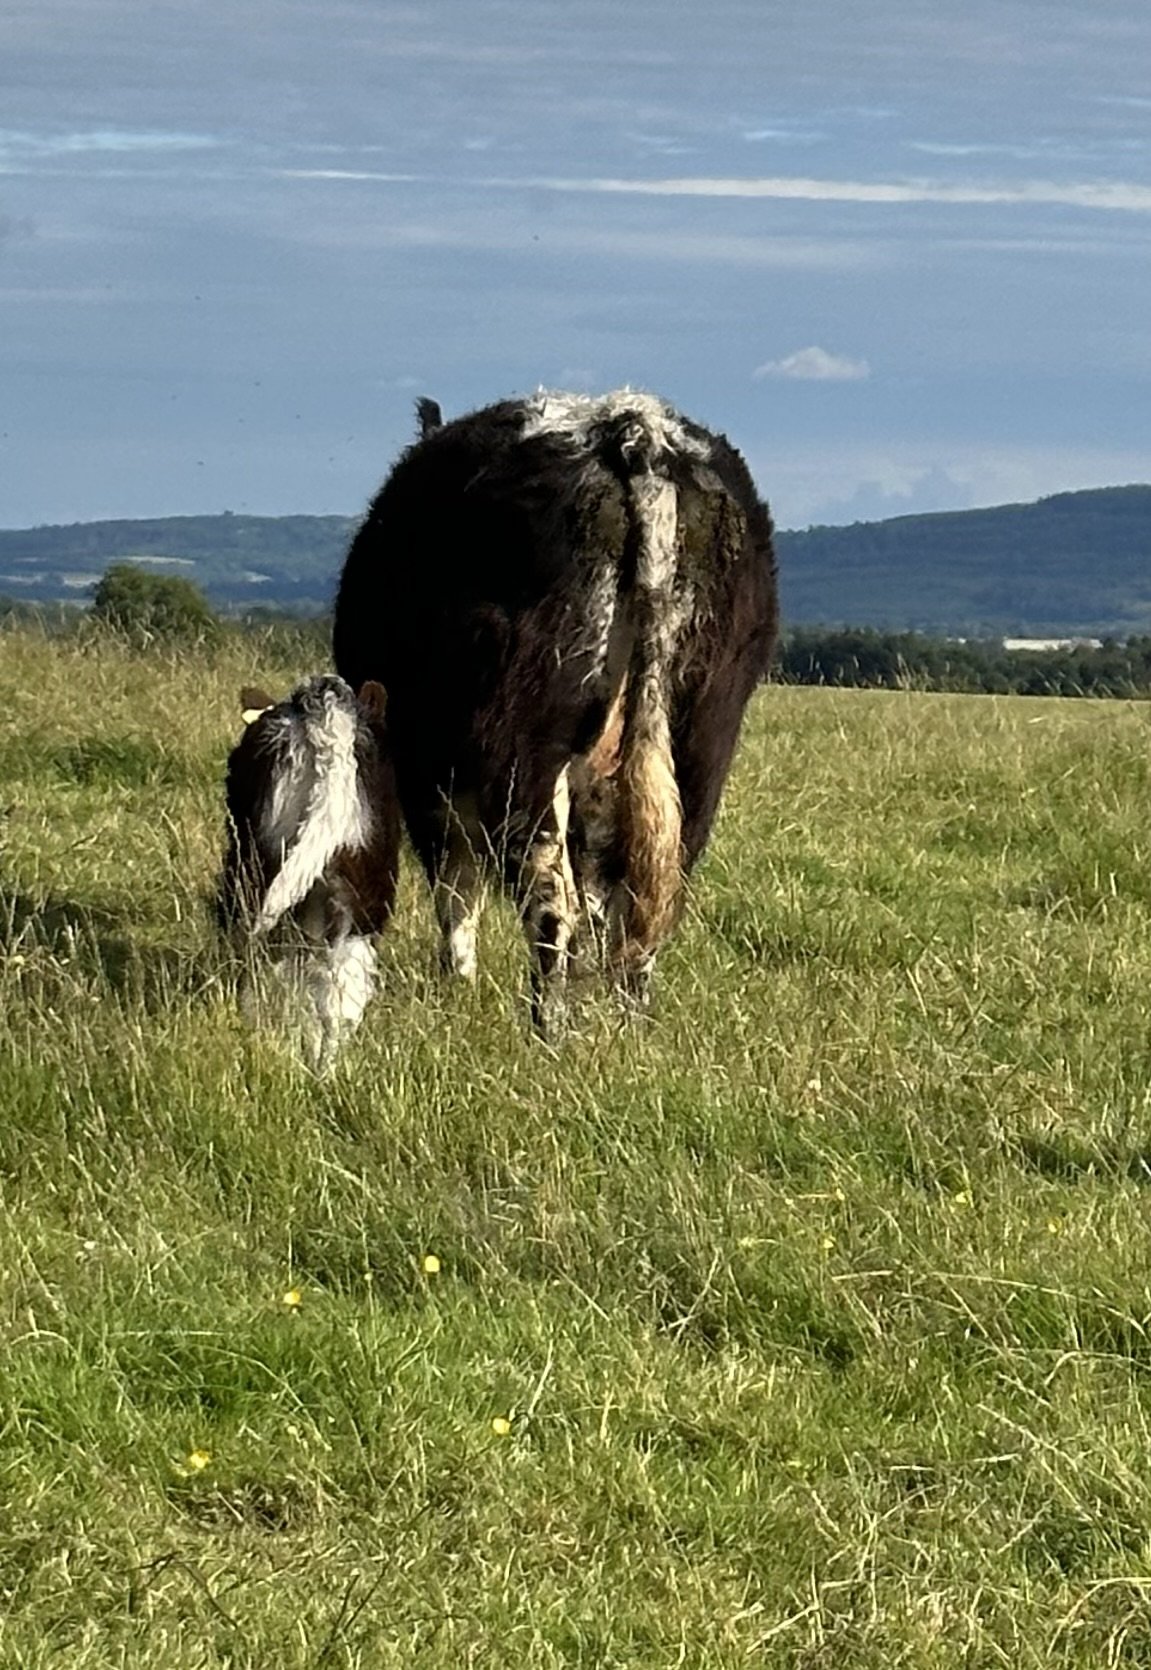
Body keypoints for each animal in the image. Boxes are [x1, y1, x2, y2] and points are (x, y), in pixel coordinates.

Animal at [333, 388, 778, 1033]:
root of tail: (634, 431)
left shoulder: (425, 776)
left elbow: (455, 885)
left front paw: (457, 981)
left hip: (524, 753)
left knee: (549, 899)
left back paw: (548, 1025)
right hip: (700, 740)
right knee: (647, 892)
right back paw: (625, 1020)